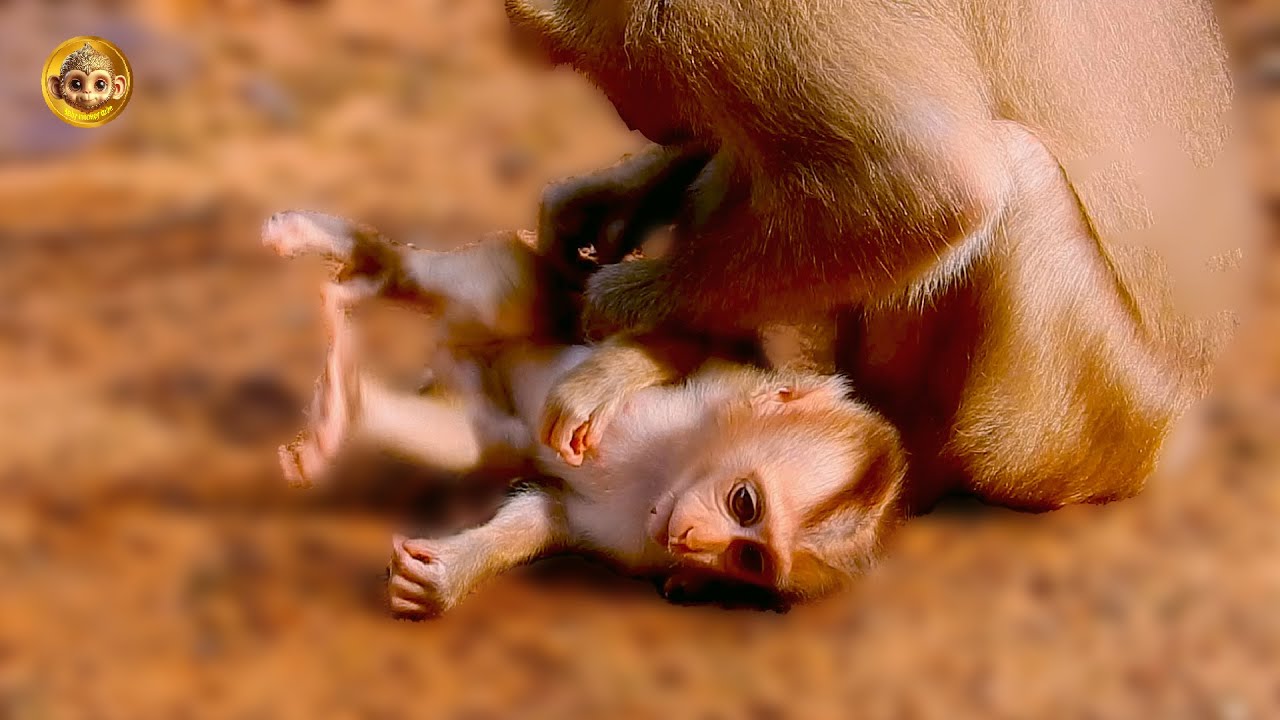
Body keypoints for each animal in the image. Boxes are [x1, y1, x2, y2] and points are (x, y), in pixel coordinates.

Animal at [261, 210, 907, 615]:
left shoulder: (635, 545)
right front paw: (598, 387)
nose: (694, 538)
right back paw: (353, 251)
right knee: (505, 294)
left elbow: (549, 514)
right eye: (744, 503)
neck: (672, 463)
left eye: (746, 558)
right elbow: (681, 324)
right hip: (519, 281)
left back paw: (343, 408)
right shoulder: (732, 375)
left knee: (478, 442)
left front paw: (446, 579)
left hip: (474, 392)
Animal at [503, 0, 1239, 512]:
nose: (630, 117)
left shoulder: (740, 20)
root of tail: (1167, 440)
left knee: (1014, 174)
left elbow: (935, 187)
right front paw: (607, 202)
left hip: (1078, 426)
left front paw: (626, 311)